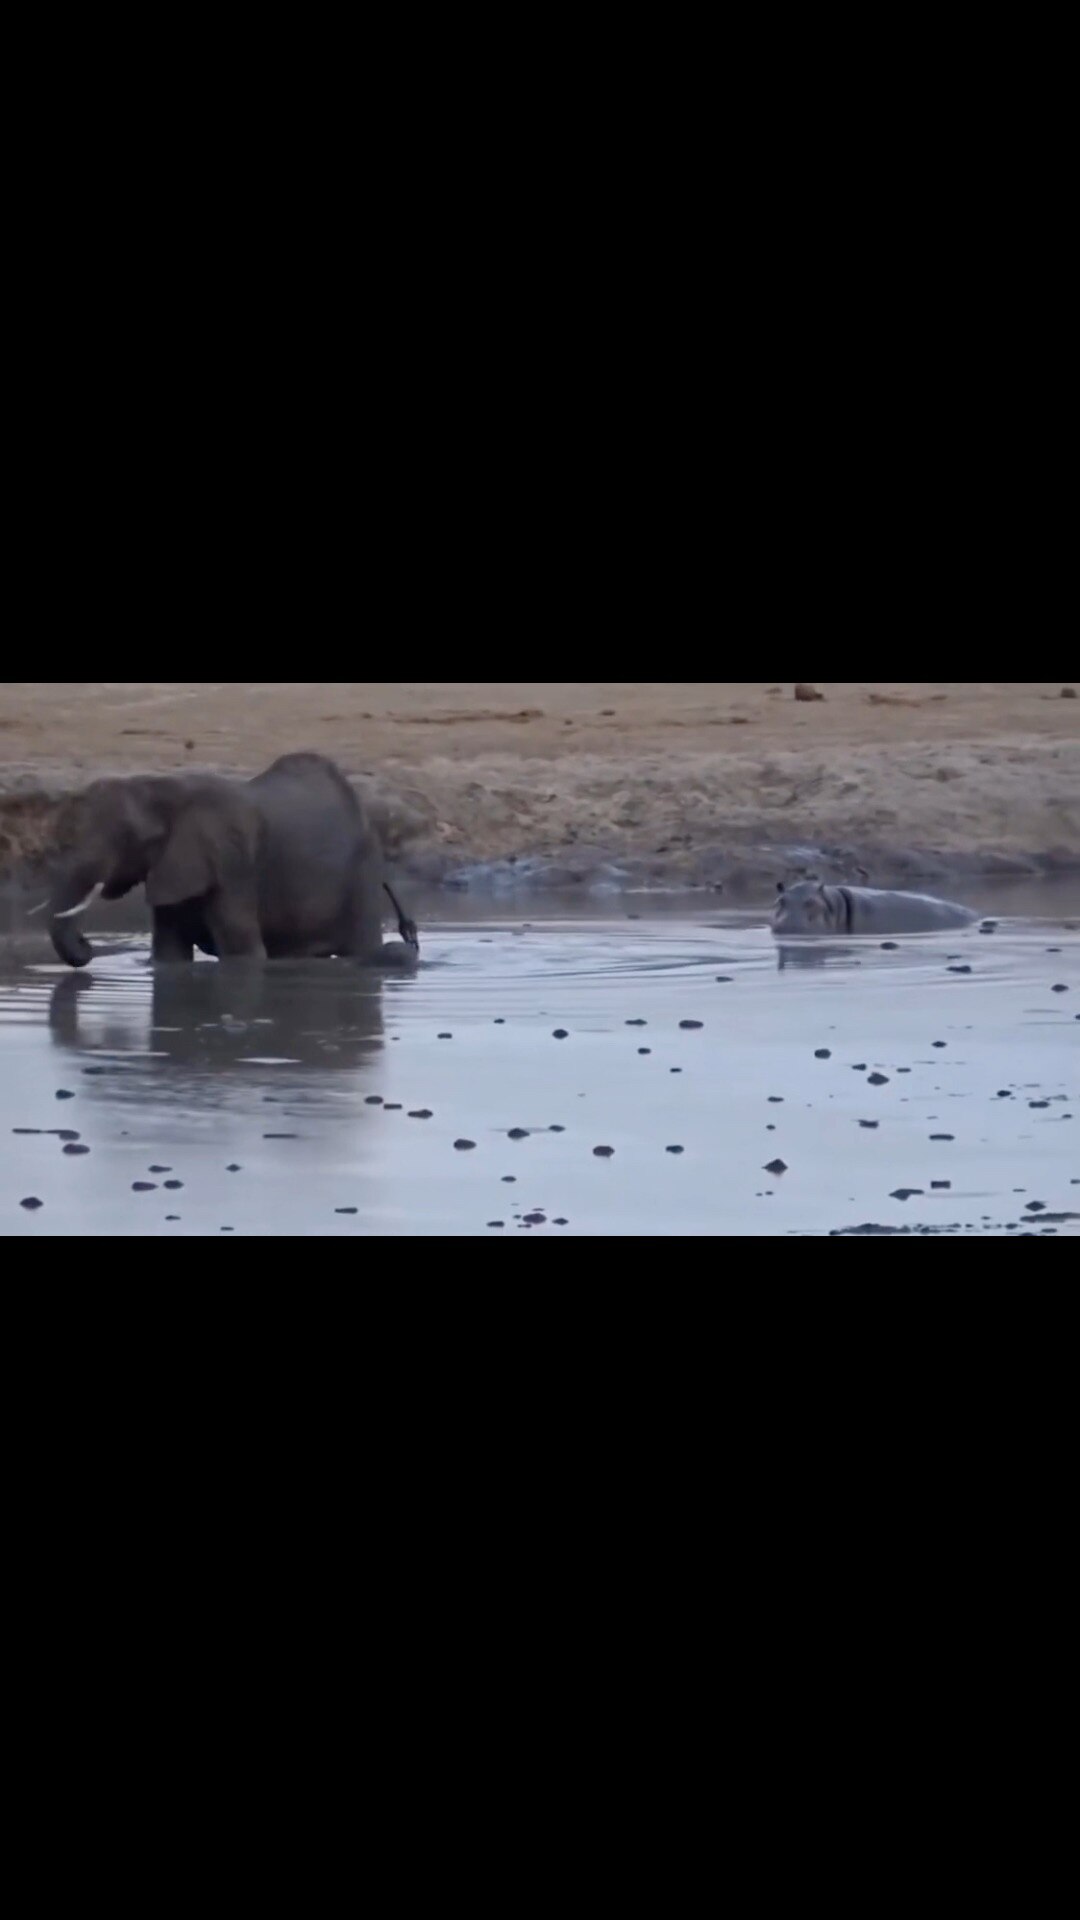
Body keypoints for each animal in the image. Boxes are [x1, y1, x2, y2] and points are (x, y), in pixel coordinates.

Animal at [37, 751, 420, 970]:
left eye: (128, 837)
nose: (87, 946)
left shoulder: (233, 864)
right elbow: (170, 953)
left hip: (362, 869)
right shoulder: (174, 866)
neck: (167, 789)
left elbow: (242, 952)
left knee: (363, 945)